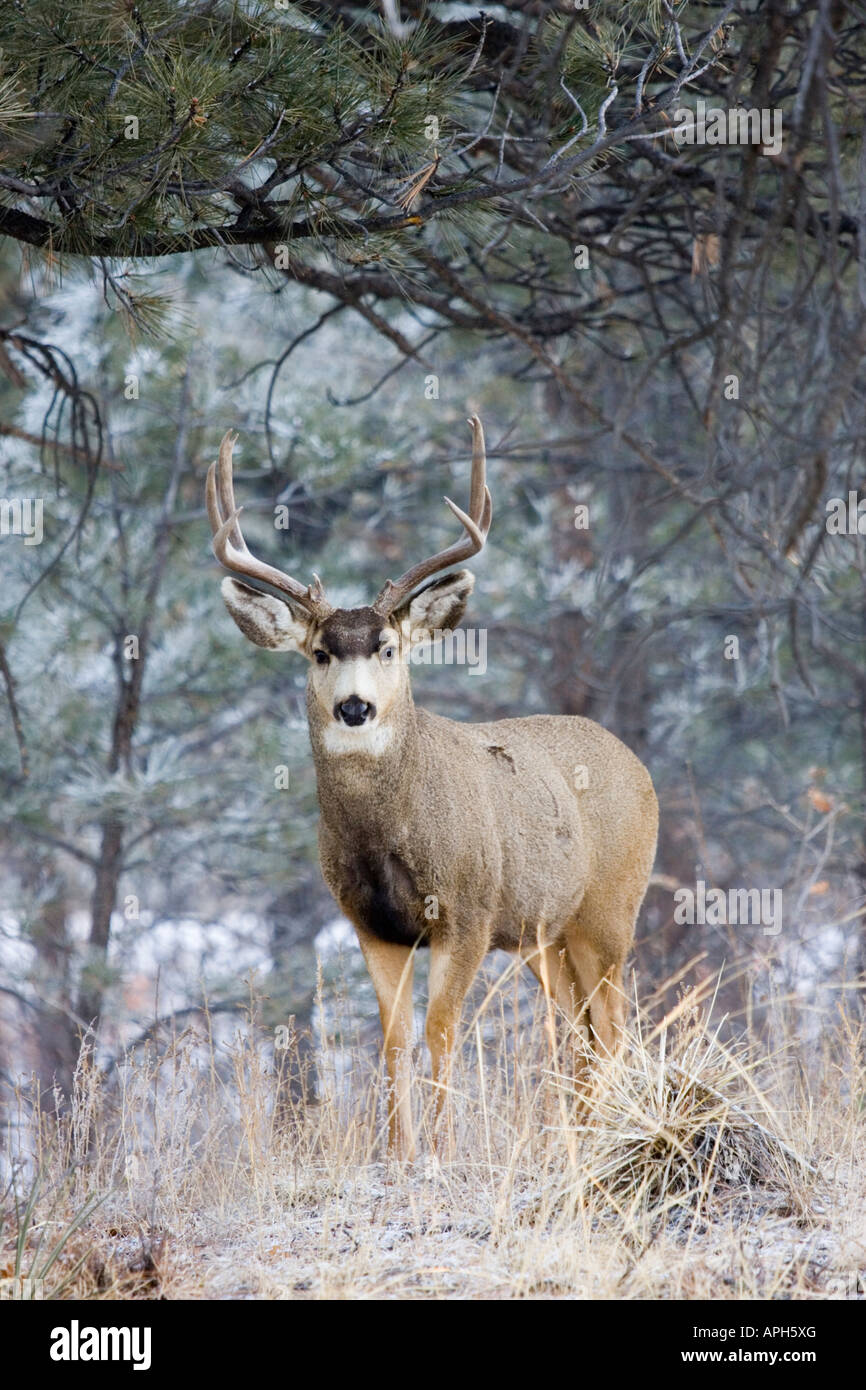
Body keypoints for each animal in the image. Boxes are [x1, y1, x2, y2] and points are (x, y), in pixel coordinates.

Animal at [206, 417, 658, 1160]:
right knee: (577, 1032)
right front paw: (398, 1153)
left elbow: (441, 1032)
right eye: (320, 652)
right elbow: (393, 1041)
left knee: (614, 1028)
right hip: (546, 936)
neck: (390, 840)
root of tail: (638, 765)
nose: (354, 707)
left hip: (609, 911)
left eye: (388, 647)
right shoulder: (372, 925)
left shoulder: (469, 913)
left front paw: (442, 1153)